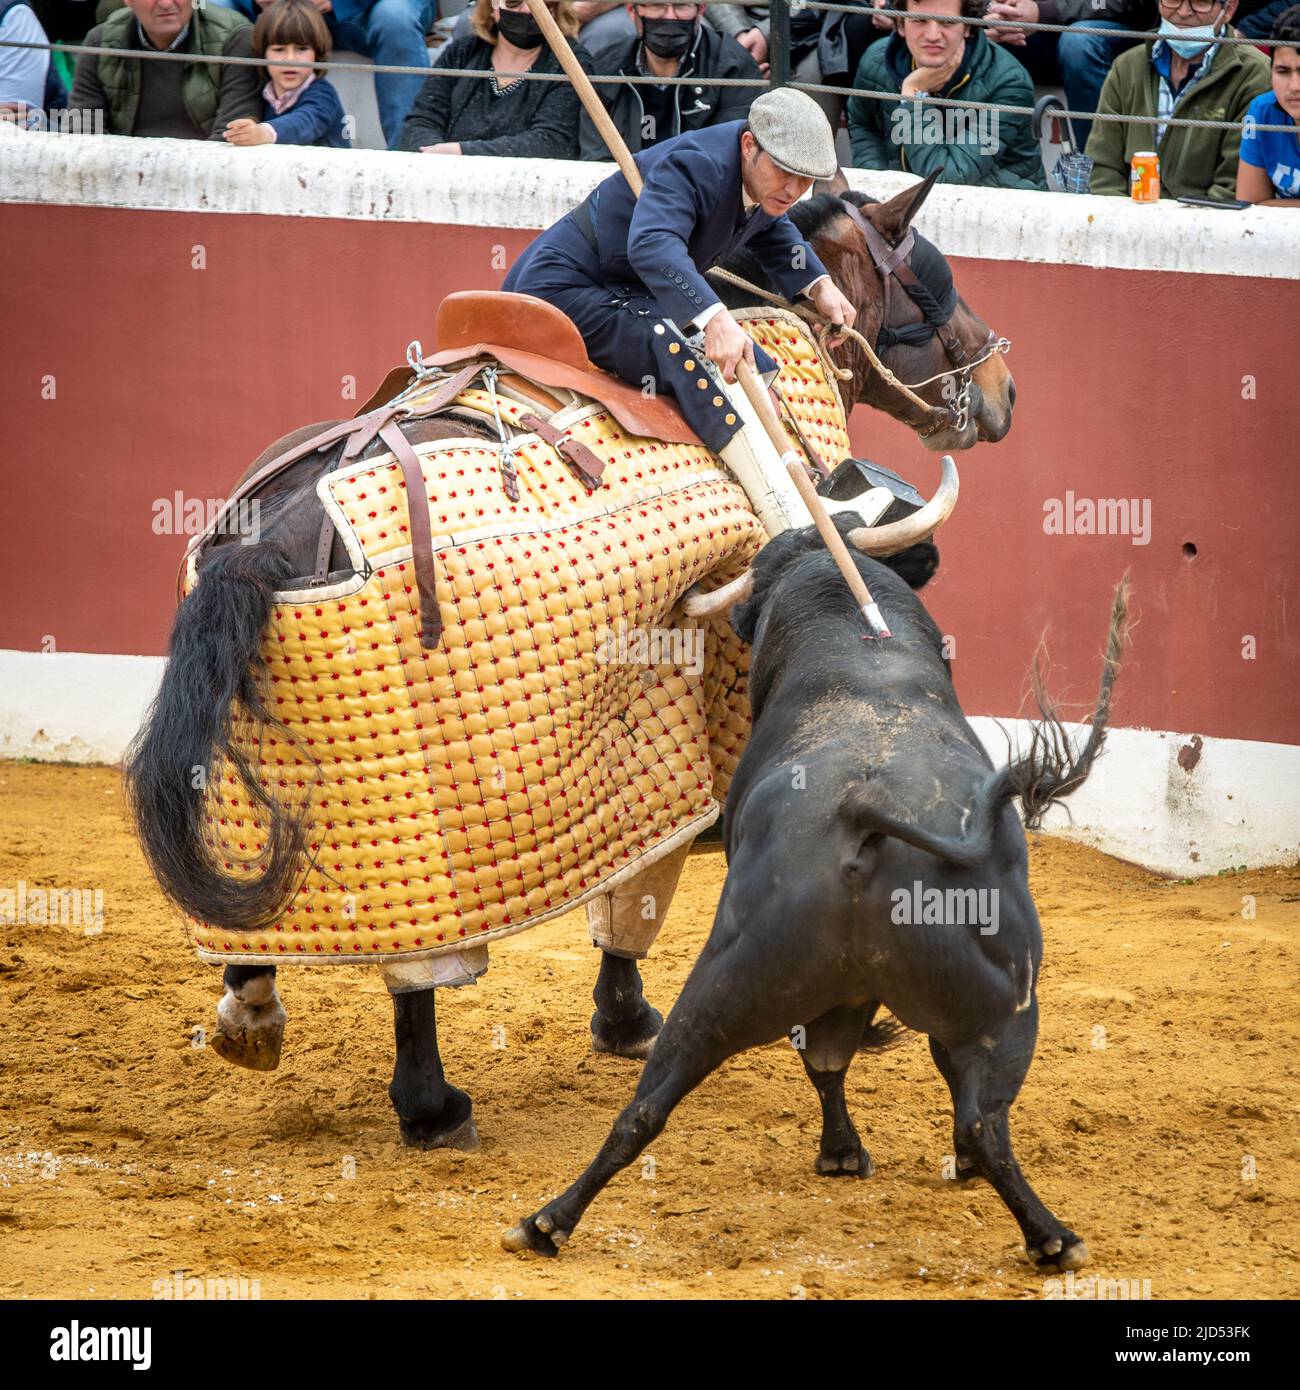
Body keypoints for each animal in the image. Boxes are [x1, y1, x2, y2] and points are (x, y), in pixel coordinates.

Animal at [504, 516, 1128, 1270]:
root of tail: (864, 818)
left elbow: (825, 1063)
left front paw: (841, 1152)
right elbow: (855, 1065)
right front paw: (849, 1153)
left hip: (731, 982)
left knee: (647, 1107)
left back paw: (549, 1220)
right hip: (1003, 1009)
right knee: (981, 1121)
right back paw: (1047, 1233)